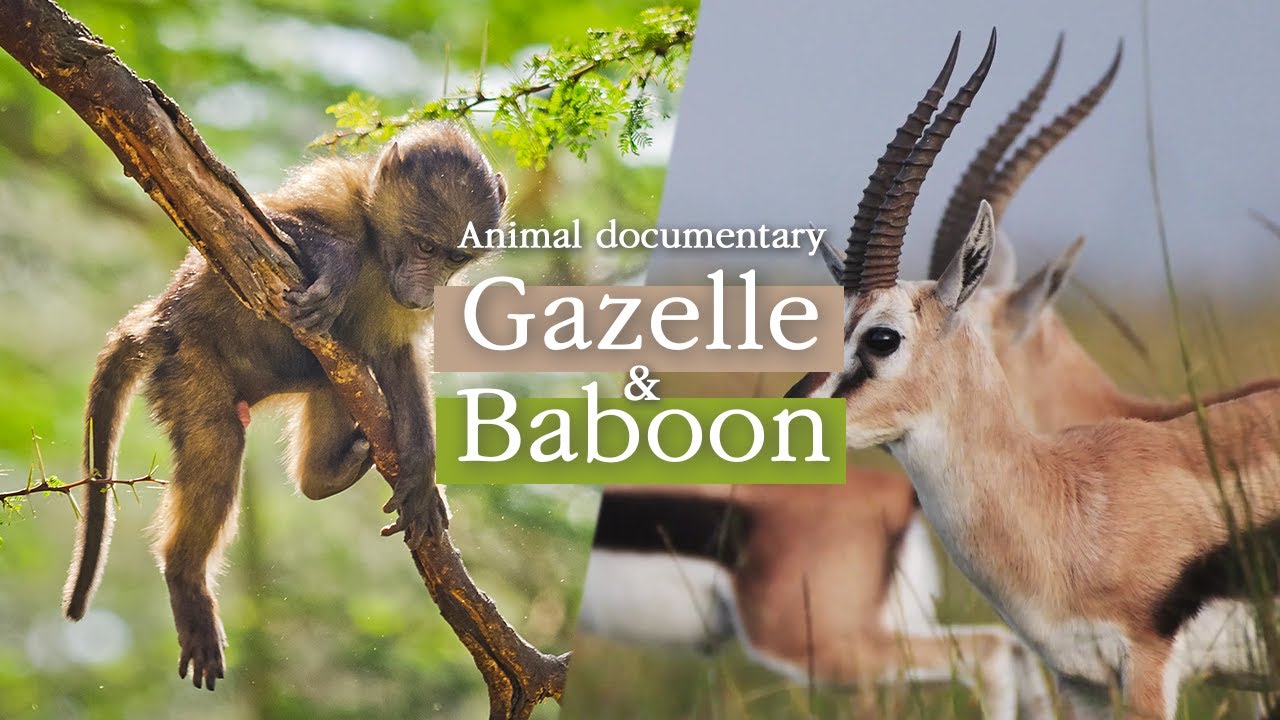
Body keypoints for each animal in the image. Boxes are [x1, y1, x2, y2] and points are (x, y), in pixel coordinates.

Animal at [62, 121, 507, 691]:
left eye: (455, 257)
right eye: (425, 244)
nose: (425, 295)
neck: (376, 243)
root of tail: (160, 318)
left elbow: (394, 356)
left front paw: (422, 472)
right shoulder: (332, 191)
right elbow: (246, 217)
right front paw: (338, 265)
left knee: (340, 377)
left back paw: (325, 475)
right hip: (189, 362)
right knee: (218, 441)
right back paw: (185, 576)